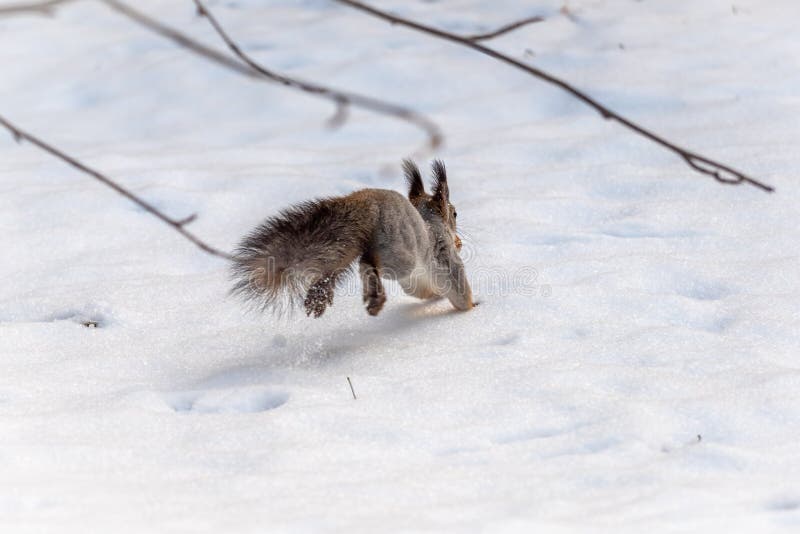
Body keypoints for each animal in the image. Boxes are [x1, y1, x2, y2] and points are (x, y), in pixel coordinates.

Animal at [230, 159, 474, 318]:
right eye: (455, 213)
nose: (459, 241)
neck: (429, 218)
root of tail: (367, 203)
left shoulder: (416, 279)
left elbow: (421, 291)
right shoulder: (441, 251)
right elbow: (457, 285)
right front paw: (471, 307)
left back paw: (321, 293)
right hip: (402, 254)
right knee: (366, 261)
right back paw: (374, 294)